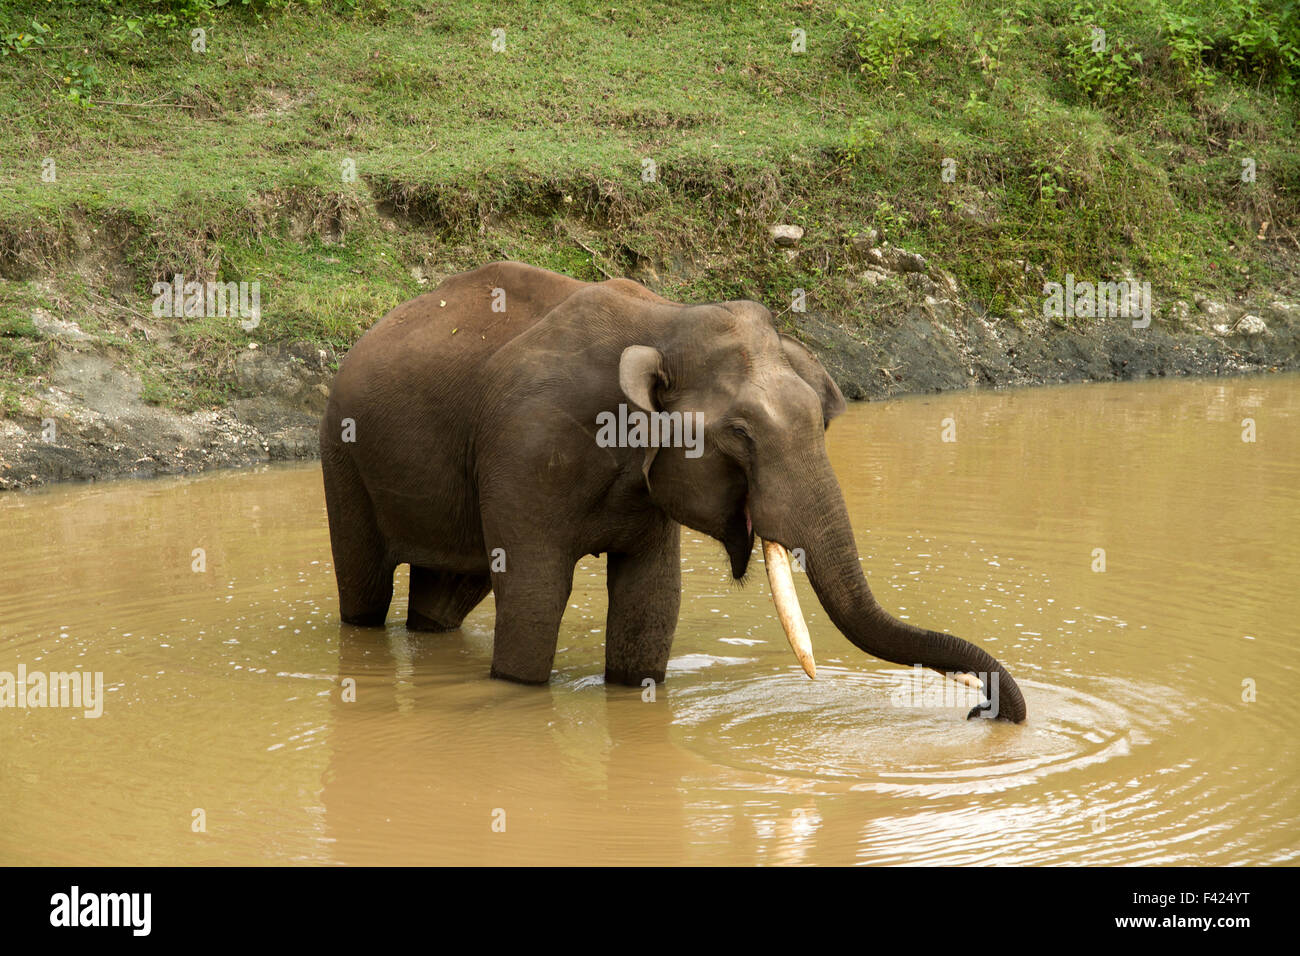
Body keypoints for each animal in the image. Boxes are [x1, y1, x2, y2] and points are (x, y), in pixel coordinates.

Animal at [320, 261, 1027, 722]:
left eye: (823, 420)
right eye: (740, 435)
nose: (981, 712)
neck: (667, 321)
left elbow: (651, 598)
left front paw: (633, 692)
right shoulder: (526, 450)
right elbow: (535, 596)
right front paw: (517, 692)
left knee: (444, 597)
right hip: (341, 456)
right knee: (365, 589)